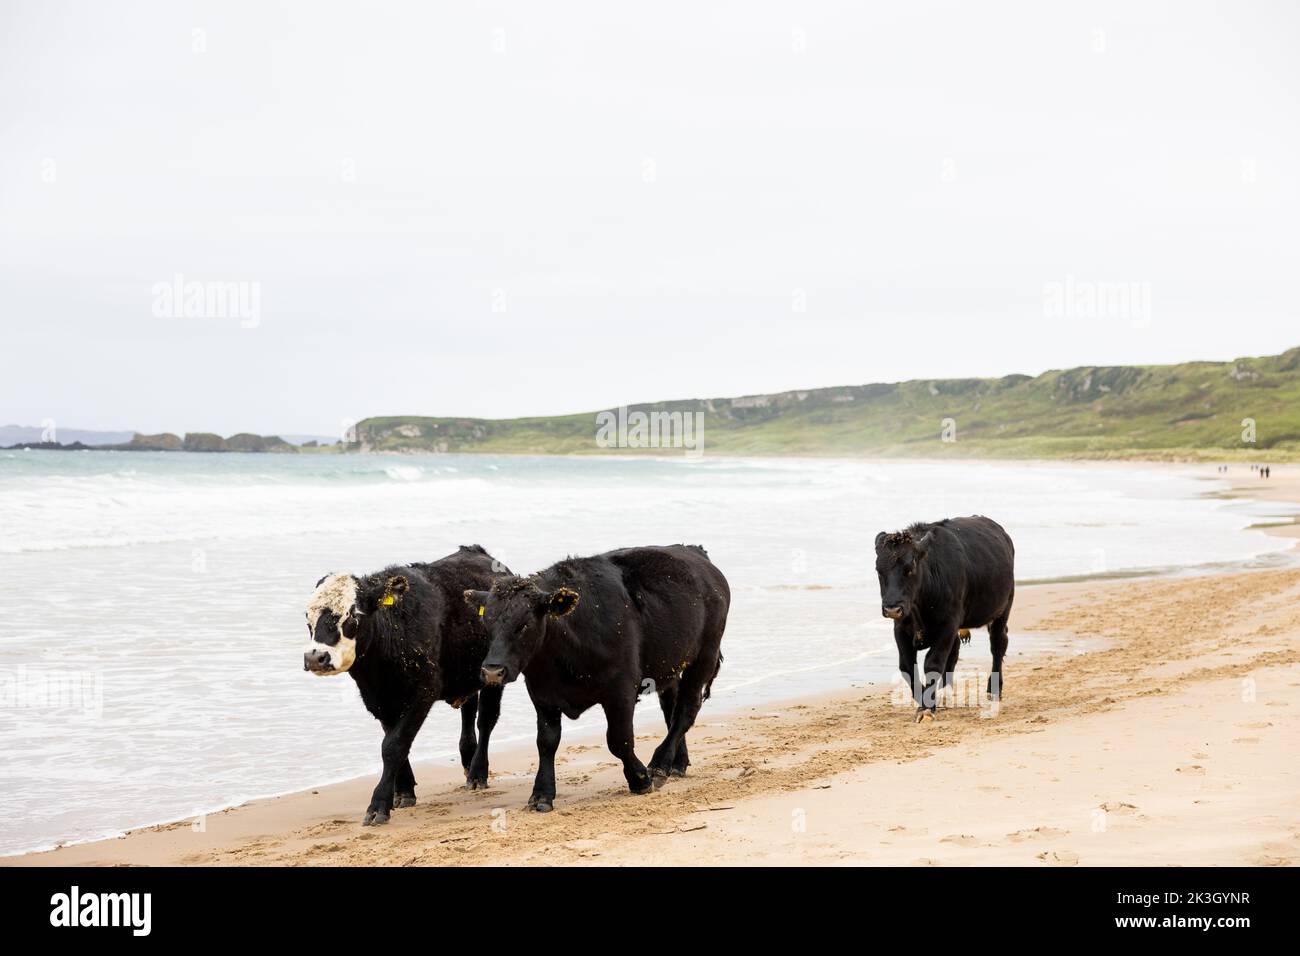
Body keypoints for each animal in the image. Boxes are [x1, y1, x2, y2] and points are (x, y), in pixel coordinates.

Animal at [303, 544, 512, 825]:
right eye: (308, 618)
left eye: (352, 618)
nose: (315, 657)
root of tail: (477, 552)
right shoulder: (379, 700)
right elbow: (392, 741)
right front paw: (403, 791)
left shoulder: (422, 693)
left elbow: (393, 746)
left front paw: (378, 805)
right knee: (469, 714)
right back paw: (468, 762)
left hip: (494, 674)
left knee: (486, 720)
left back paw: (477, 773)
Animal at [463, 544, 729, 813]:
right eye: (487, 622)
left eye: (524, 624)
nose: (493, 671)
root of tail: (693, 552)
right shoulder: (542, 695)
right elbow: (547, 742)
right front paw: (542, 794)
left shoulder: (621, 690)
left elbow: (619, 739)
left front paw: (639, 779)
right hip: (671, 665)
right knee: (671, 709)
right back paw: (677, 762)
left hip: (704, 655)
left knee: (686, 710)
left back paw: (660, 764)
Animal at [874, 516, 1015, 722]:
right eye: (878, 570)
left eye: (910, 569)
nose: (892, 608)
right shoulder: (900, 628)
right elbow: (907, 666)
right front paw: (926, 701)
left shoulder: (947, 625)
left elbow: (933, 663)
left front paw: (926, 708)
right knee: (955, 652)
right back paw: (946, 694)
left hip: (1003, 609)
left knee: (998, 644)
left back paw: (994, 691)